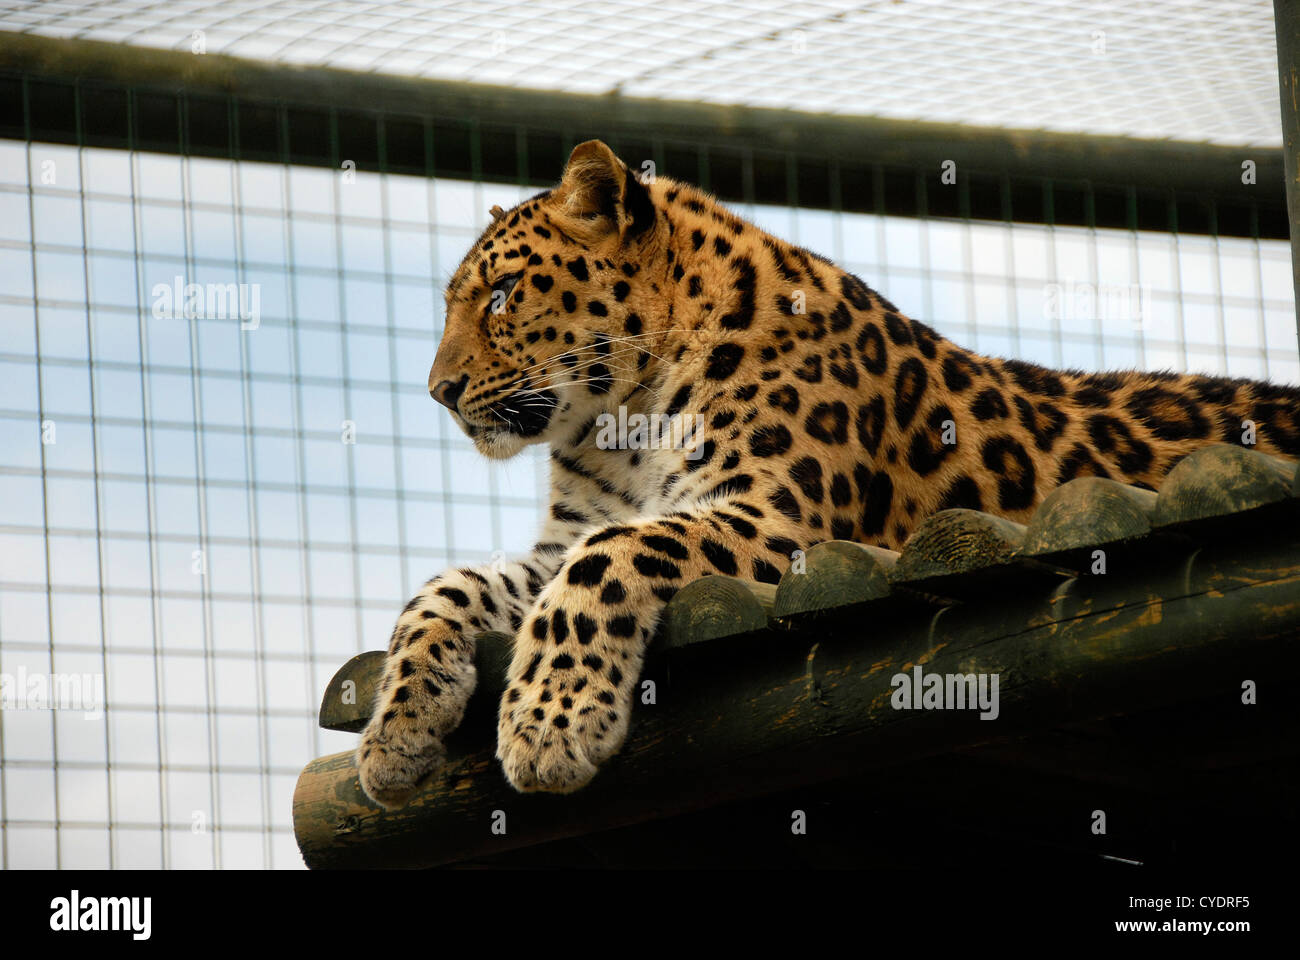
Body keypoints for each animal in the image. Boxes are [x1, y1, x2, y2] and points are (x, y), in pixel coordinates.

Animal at [356, 139, 1300, 806]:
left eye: (501, 297)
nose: (438, 391)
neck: (615, 426)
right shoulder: (562, 541)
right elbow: (447, 588)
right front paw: (395, 733)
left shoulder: (777, 519)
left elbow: (608, 561)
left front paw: (549, 725)